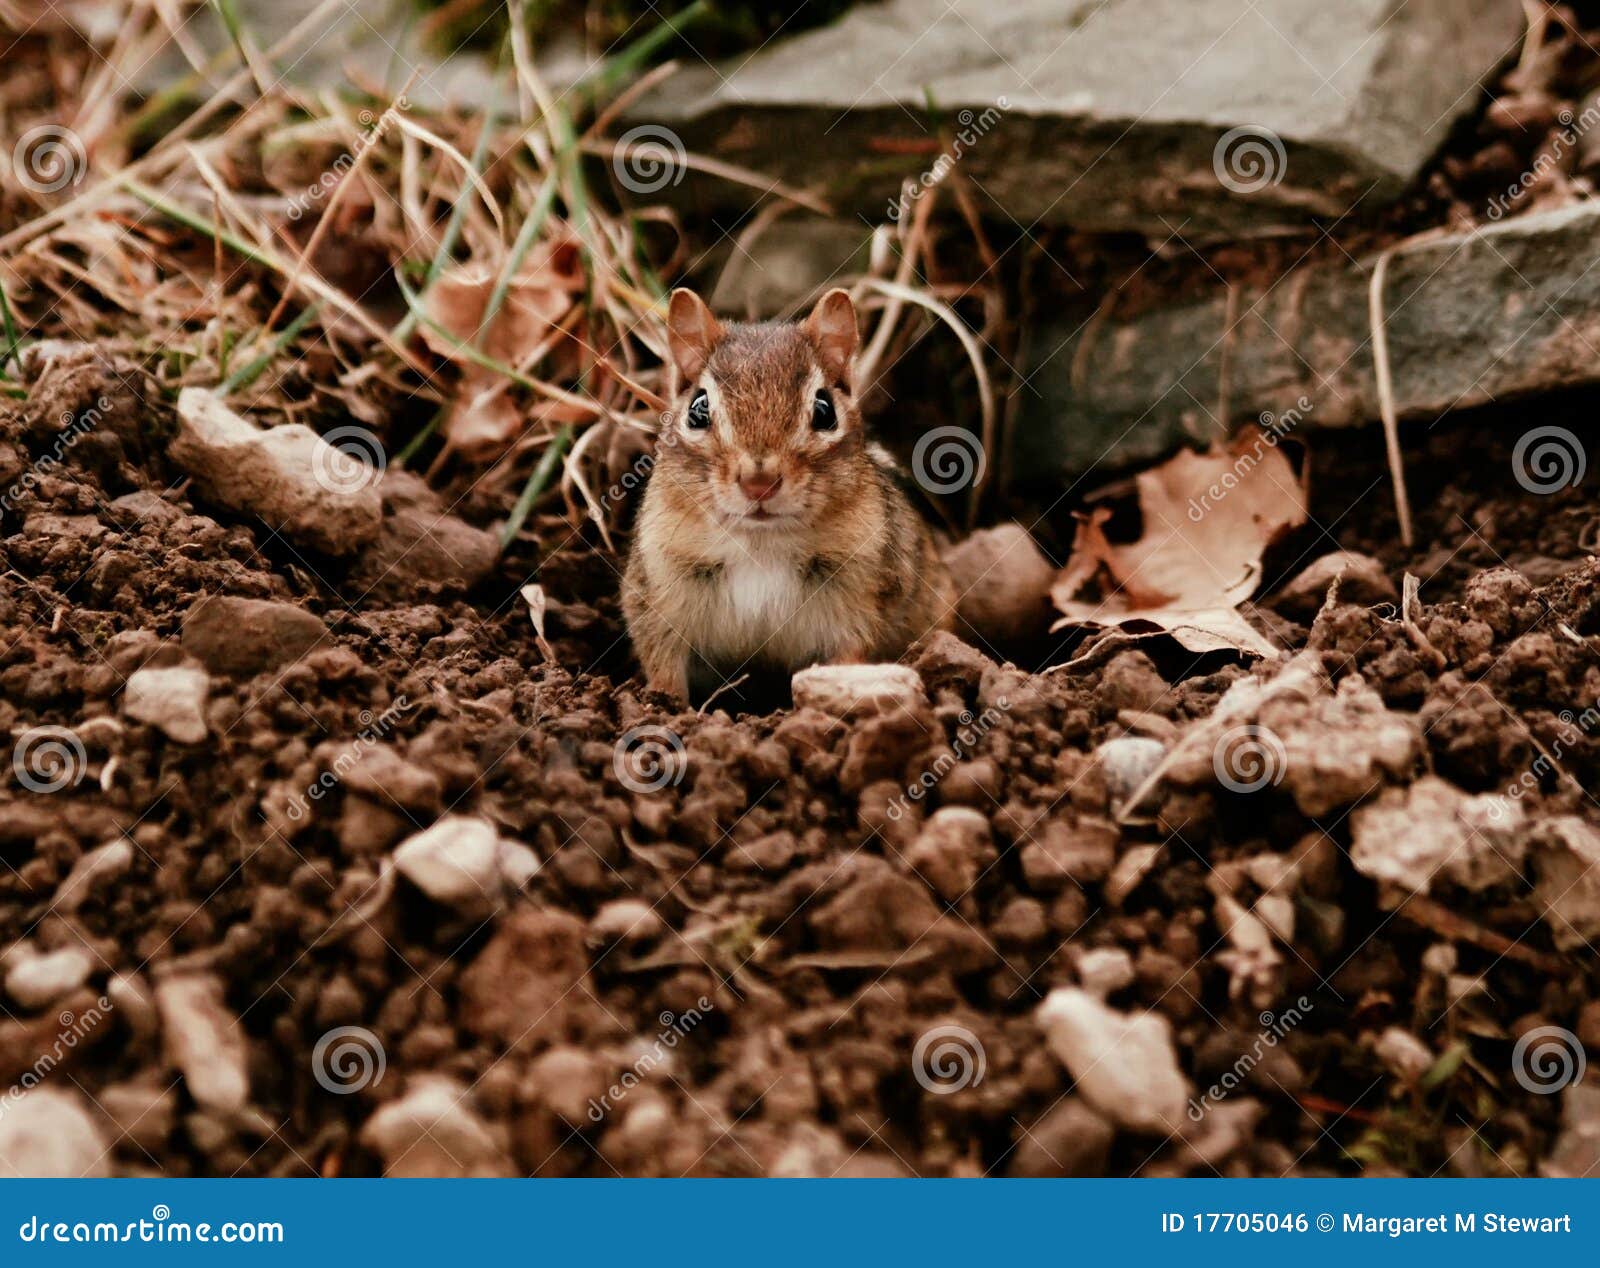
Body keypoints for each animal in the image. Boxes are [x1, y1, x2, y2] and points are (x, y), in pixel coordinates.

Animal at [622, 287, 956, 703]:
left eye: (825, 410)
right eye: (698, 409)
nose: (759, 482)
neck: (760, 544)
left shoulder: (858, 602)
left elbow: (849, 657)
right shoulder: (657, 594)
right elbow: (663, 666)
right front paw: (666, 705)